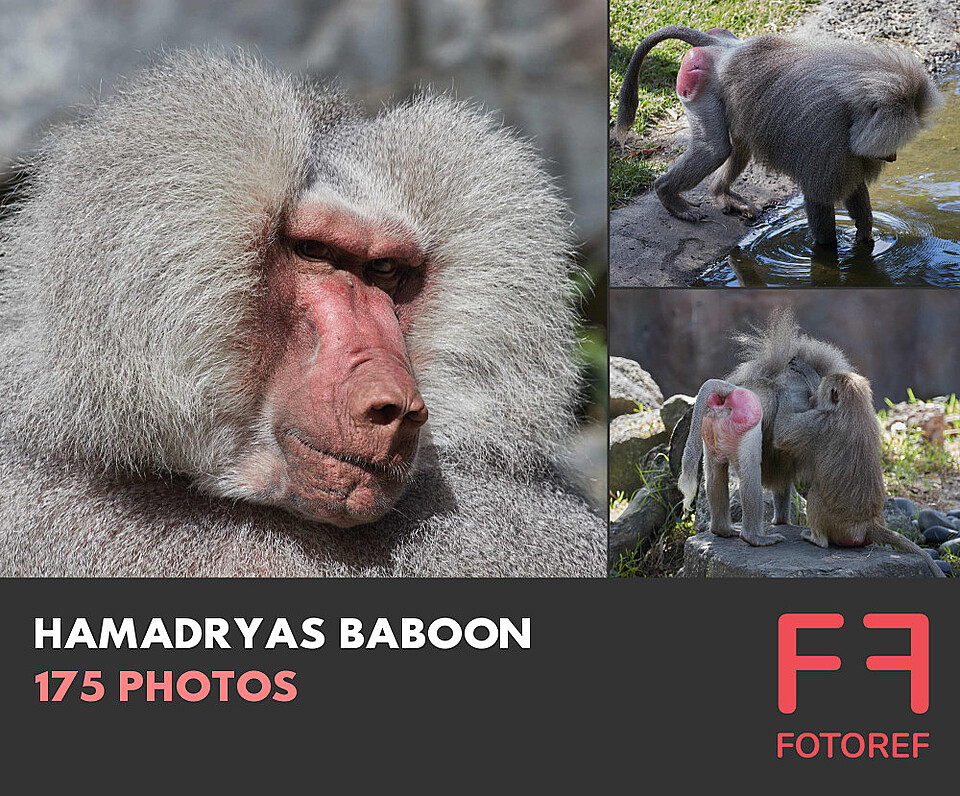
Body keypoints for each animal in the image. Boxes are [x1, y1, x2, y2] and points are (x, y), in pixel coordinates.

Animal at [615, 26, 941, 247]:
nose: (893, 157)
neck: (852, 112)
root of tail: (722, 45)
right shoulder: (827, 140)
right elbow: (819, 199)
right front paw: (830, 253)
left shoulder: (846, 152)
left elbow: (854, 187)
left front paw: (865, 236)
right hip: (700, 83)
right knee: (714, 149)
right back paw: (669, 197)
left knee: (739, 148)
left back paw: (722, 194)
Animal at [679, 309, 851, 545]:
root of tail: (731, 391)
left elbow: (783, 483)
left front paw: (782, 521)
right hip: (745, 427)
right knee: (750, 474)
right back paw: (755, 537)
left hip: (710, 432)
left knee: (715, 476)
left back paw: (723, 530)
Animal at [774, 373, 945, 577]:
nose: (812, 399)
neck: (853, 407)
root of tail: (867, 524)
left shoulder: (817, 422)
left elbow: (782, 433)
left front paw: (783, 390)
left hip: (837, 526)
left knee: (815, 494)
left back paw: (816, 539)